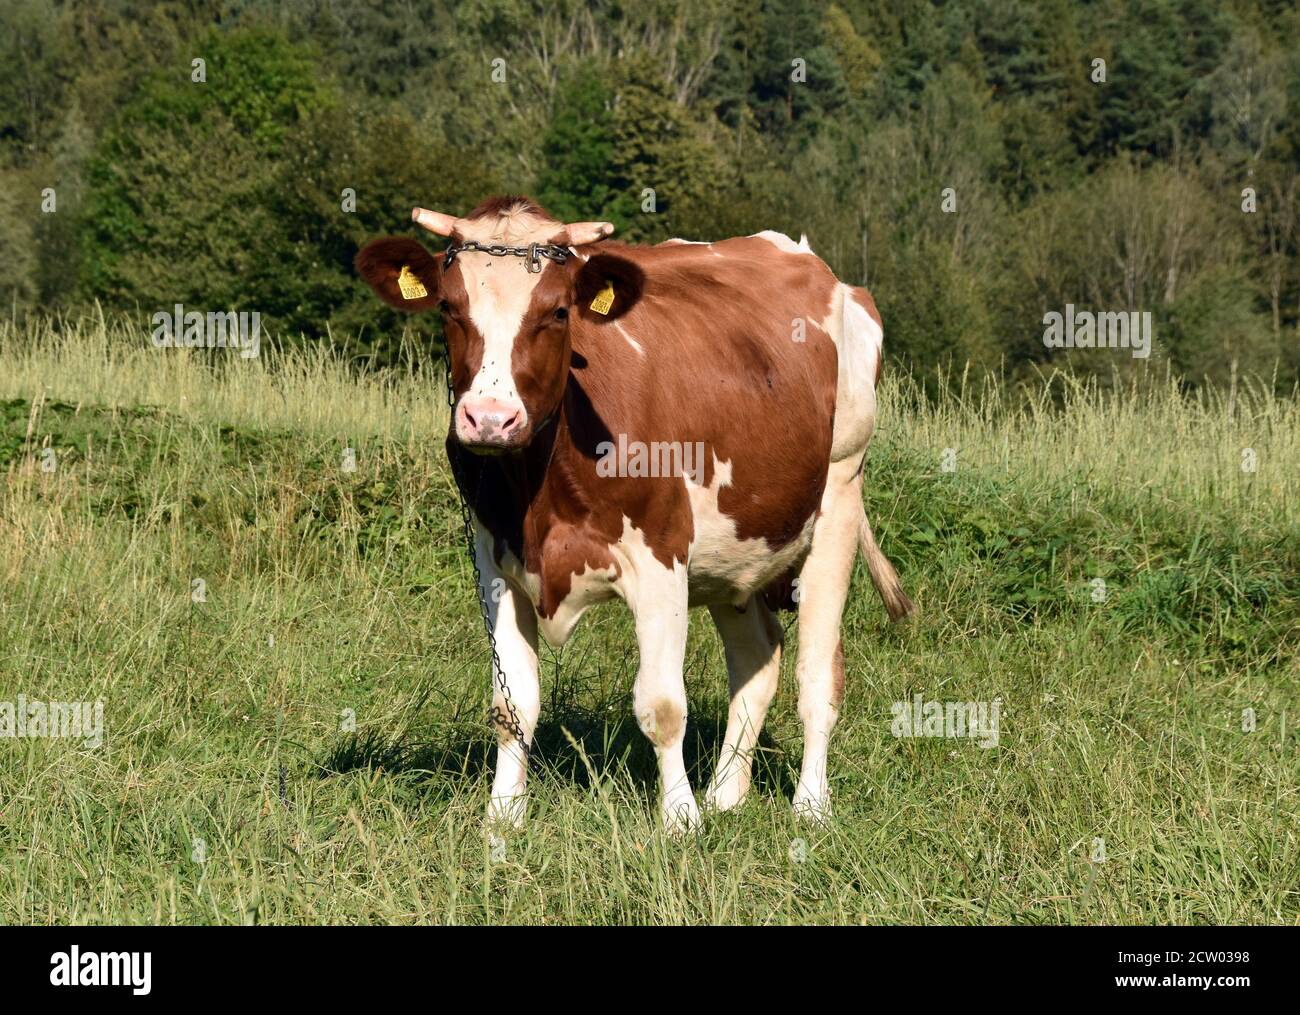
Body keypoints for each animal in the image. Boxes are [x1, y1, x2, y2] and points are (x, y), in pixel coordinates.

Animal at [356, 196, 914, 832]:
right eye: (449, 308)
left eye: (558, 311)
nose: (490, 419)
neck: (543, 486)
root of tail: (820, 269)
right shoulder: (495, 564)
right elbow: (512, 704)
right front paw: (503, 817)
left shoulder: (661, 557)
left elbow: (663, 706)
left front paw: (680, 820)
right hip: (735, 549)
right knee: (758, 657)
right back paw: (726, 794)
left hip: (839, 496)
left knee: (817, 676)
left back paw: (810, 807)